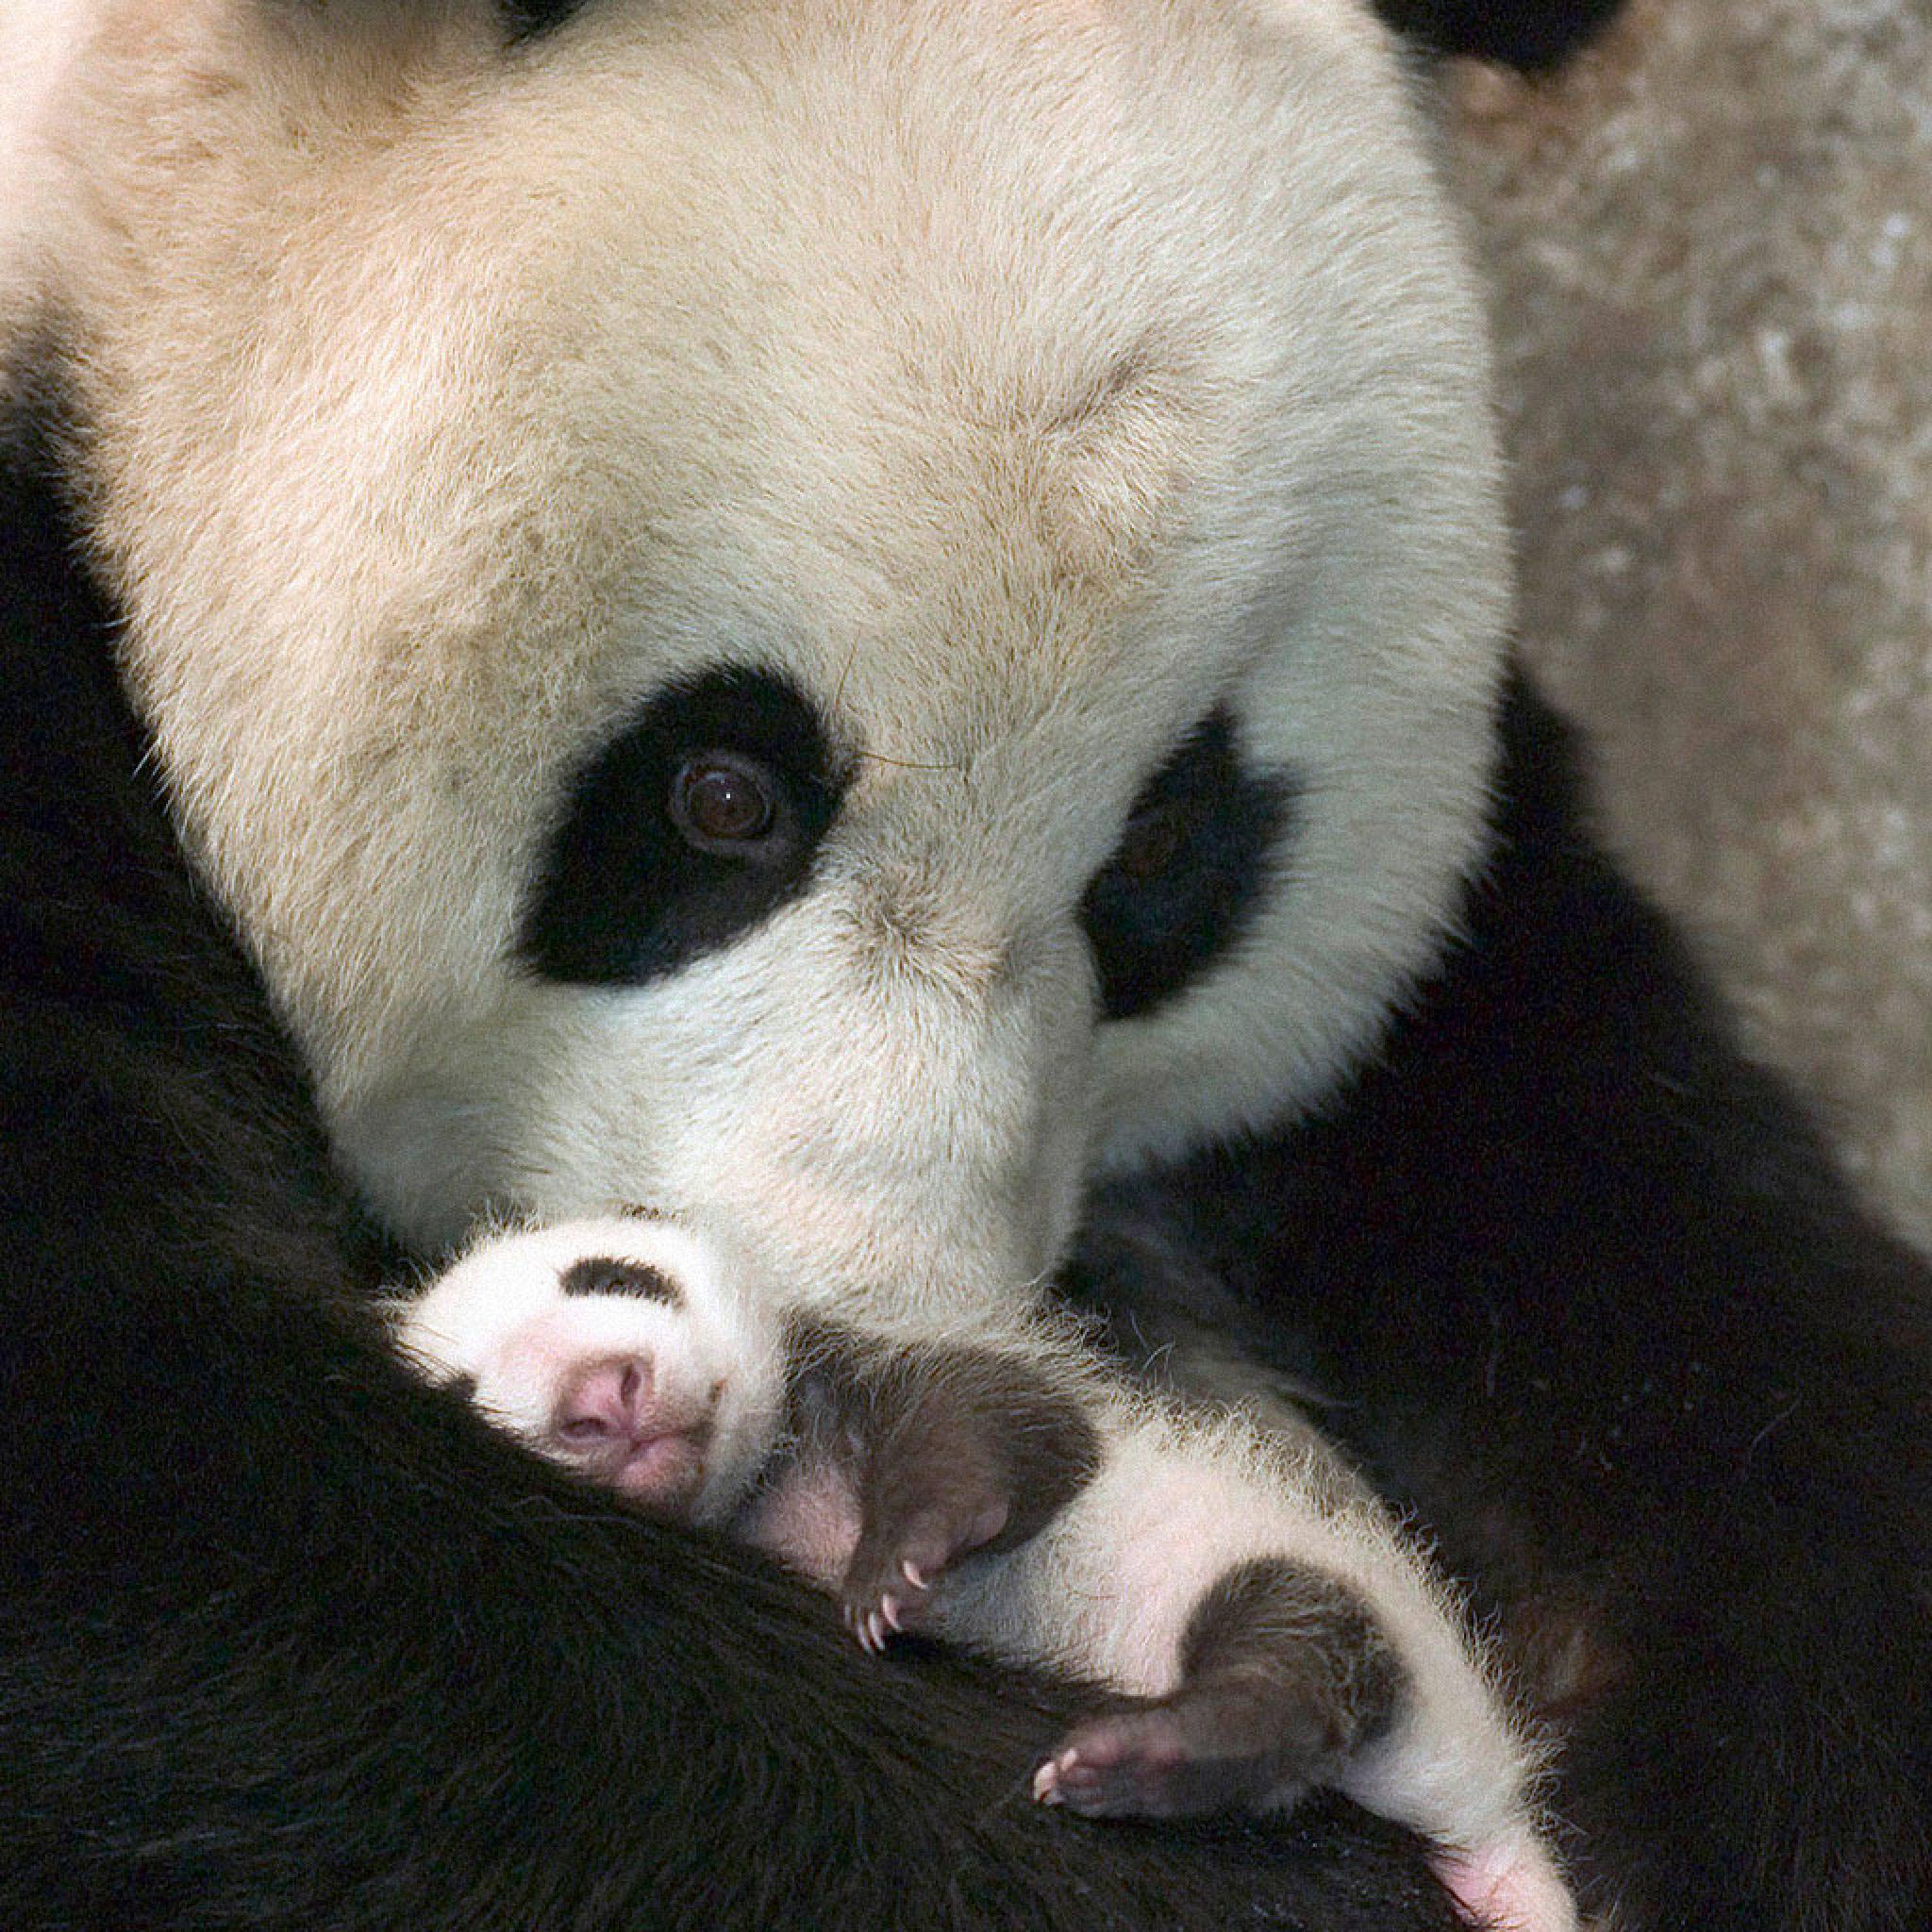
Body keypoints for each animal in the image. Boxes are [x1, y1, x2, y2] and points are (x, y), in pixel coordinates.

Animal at [2, 0, 1929, 1930]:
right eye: (723, 794)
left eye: (1162, 849)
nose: (862, 1308)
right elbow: (221, 1552)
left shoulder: (1471, 1002)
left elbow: (1677, 1294)